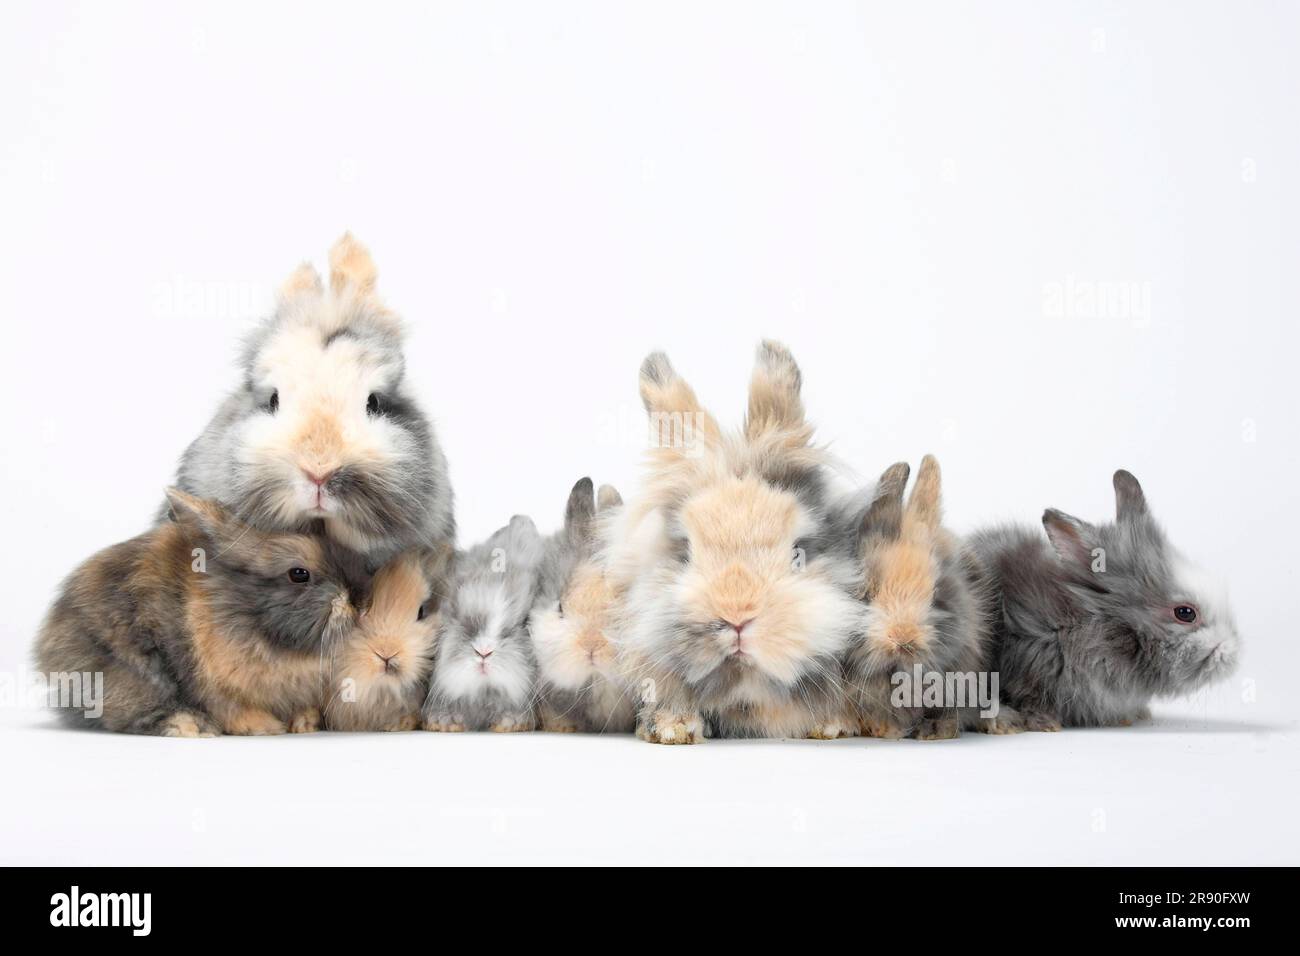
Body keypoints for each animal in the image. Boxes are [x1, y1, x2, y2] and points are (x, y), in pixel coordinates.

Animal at [33, 489, 364, 736]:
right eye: (299, 574)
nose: (354, 601)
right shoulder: (211, 682)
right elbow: (231, 708)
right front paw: (264, 726)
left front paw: (305, 723)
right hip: (129, 674)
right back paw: (190, 726)